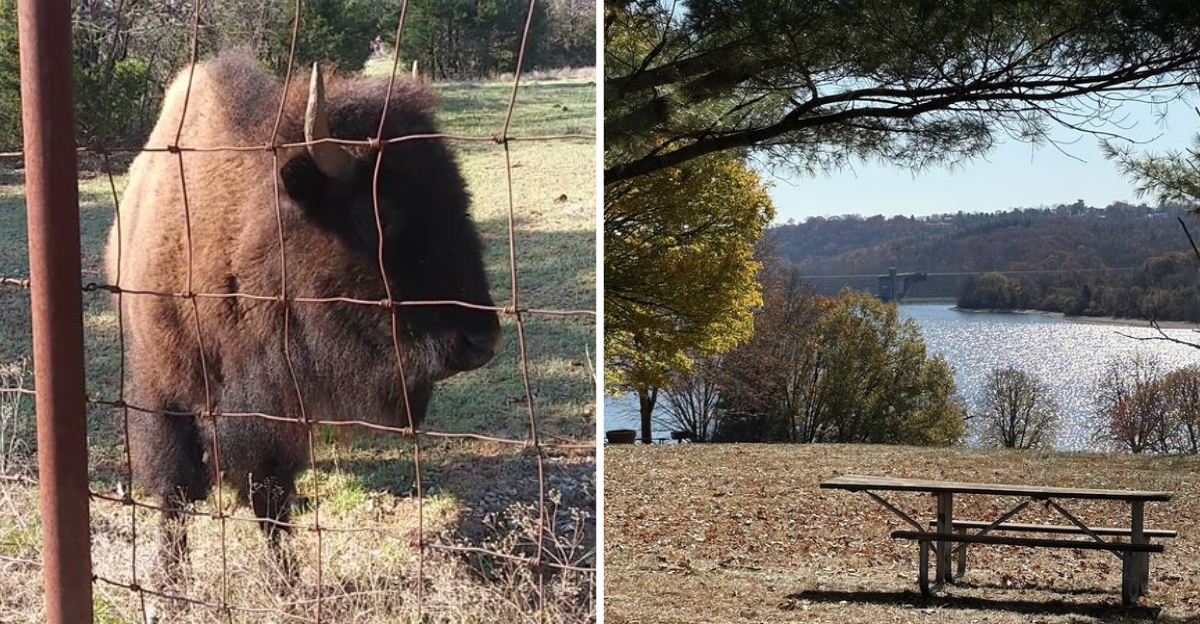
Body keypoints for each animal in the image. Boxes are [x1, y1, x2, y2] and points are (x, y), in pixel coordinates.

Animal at [105, 52, 501, 582]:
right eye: (378, 215)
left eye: (459, 198)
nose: (481, 341)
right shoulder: (161, 394)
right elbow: (176, 491)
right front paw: (170, 575)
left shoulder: (275, 410)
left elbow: (269, 497)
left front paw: (285, 578)